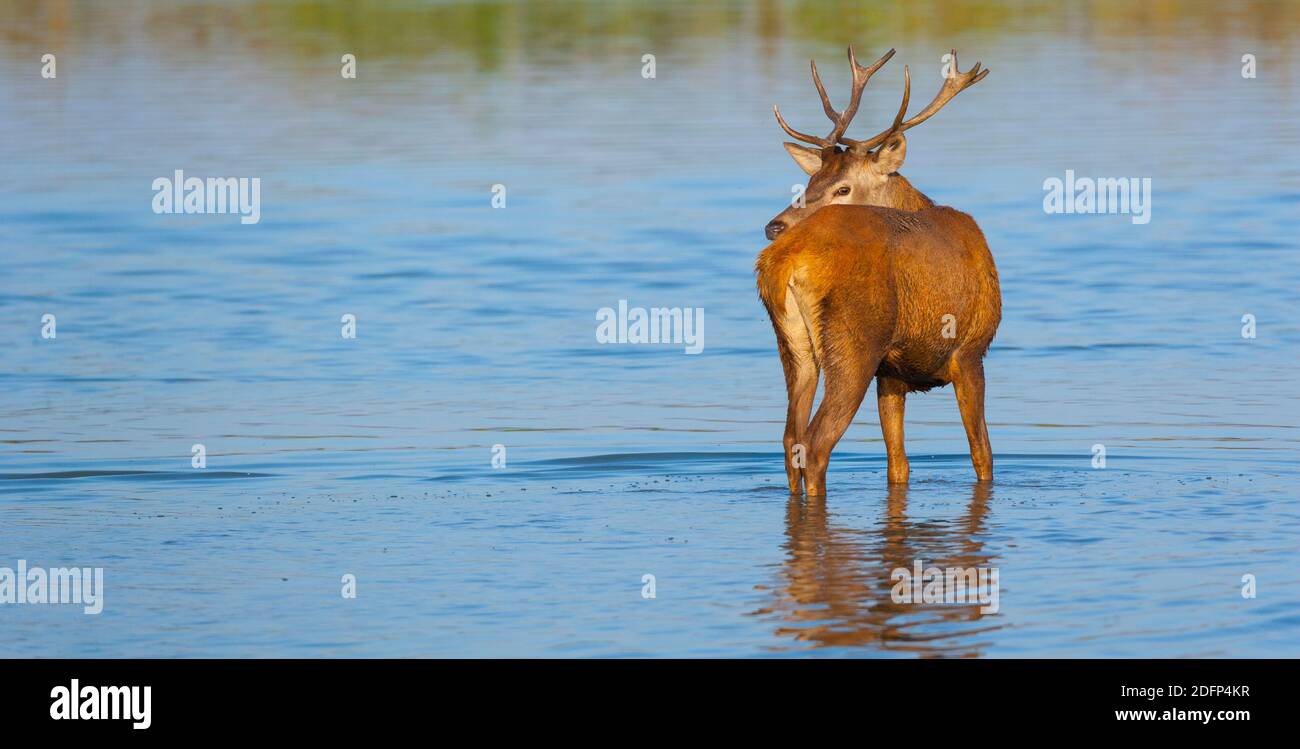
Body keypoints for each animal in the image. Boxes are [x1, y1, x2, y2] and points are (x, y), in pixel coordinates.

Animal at [755, 47, 1000, 496]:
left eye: (842, 187)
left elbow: (898, 466)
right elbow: (983, 456)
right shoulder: (971, 350)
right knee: (815, 442)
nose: (773, 226)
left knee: (790, 439)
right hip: (854, 340)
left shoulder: (891, 374)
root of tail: (785, 261)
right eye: (808, 182)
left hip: (794, 349)